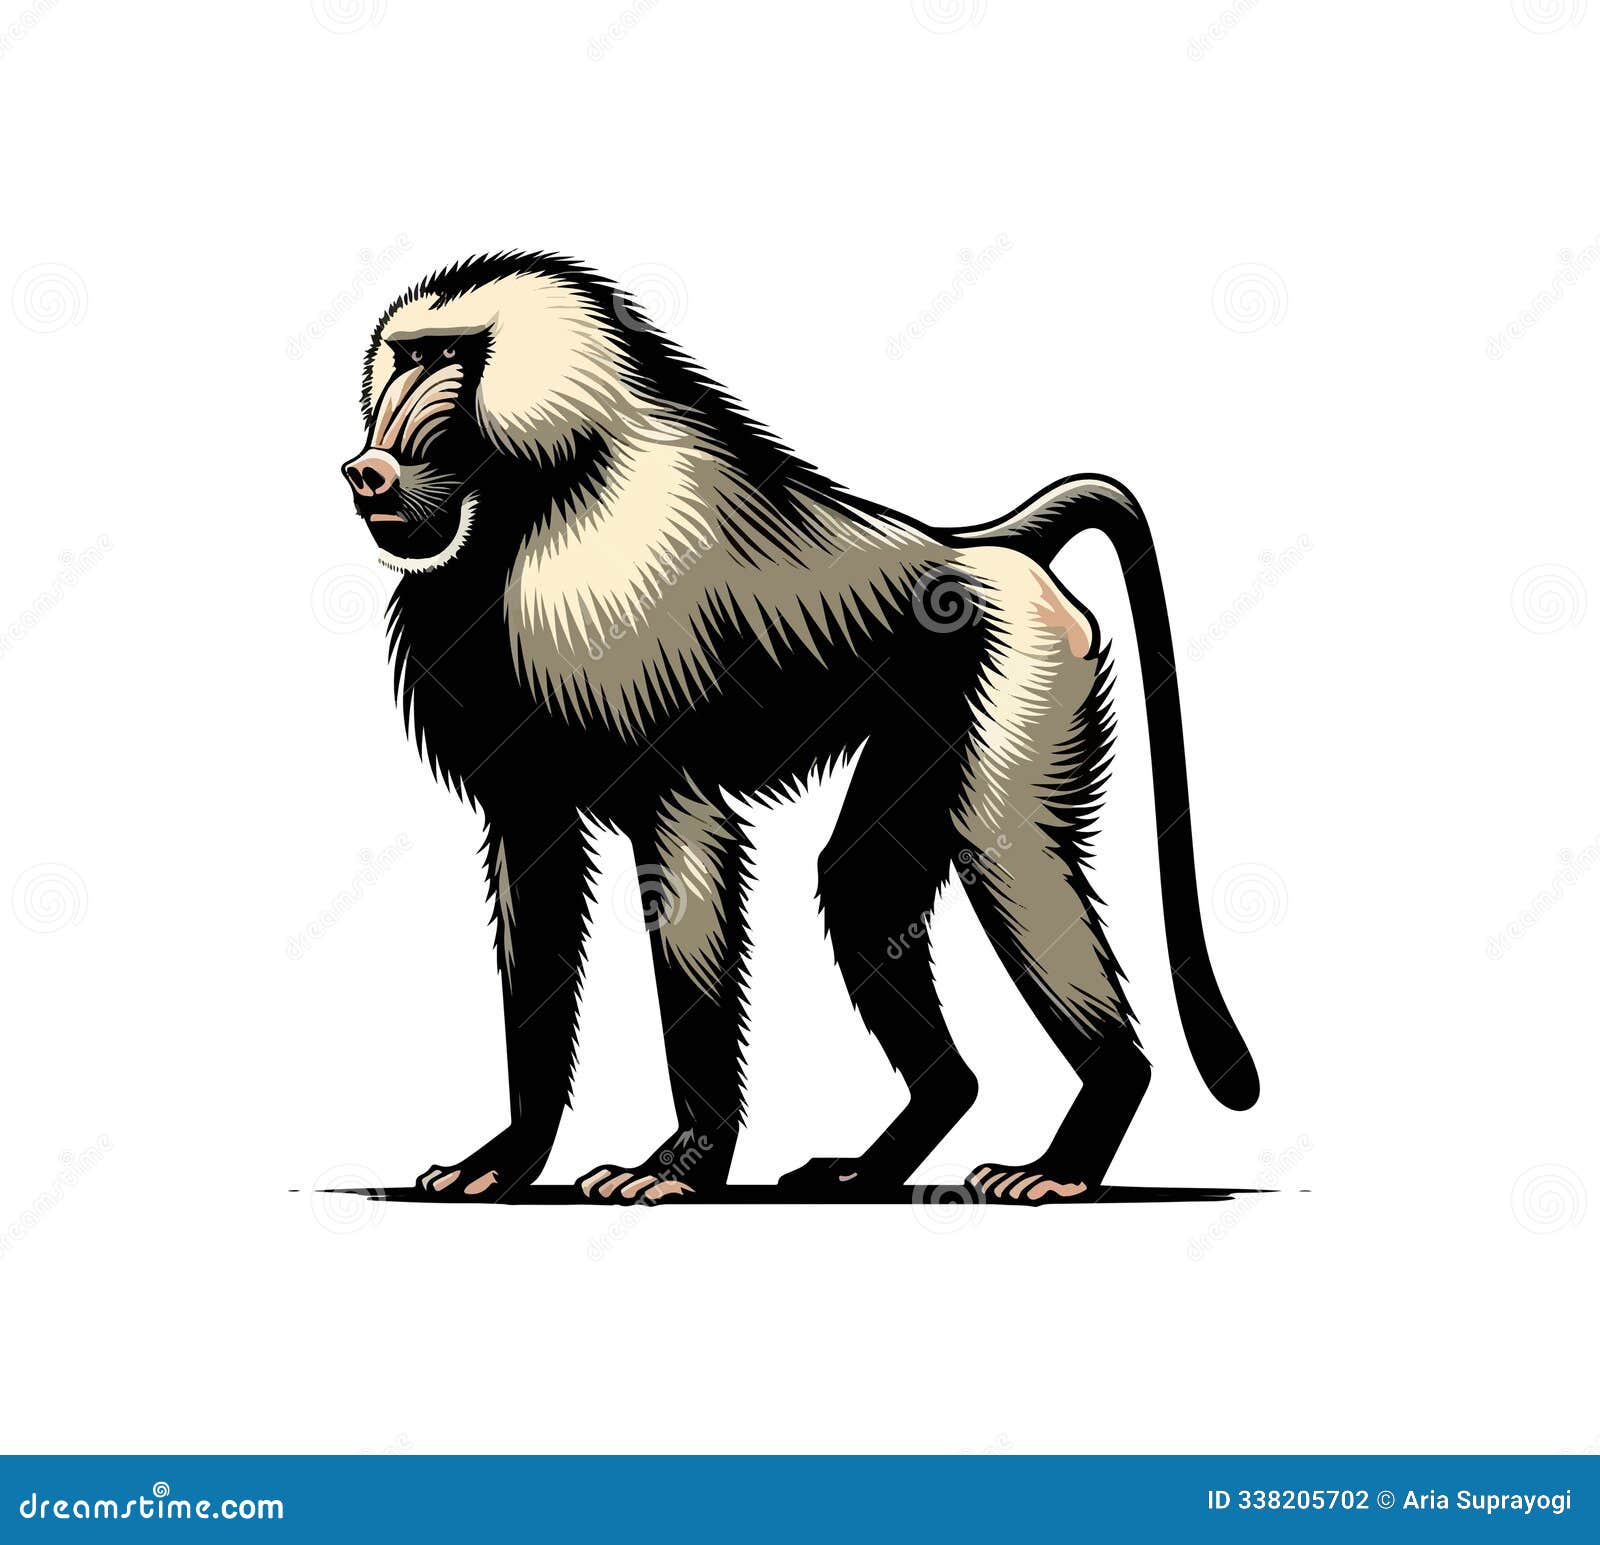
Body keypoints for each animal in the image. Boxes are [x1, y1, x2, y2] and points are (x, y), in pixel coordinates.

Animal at [337, 251, 1258, 1206]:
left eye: (448, 356)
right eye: (404, 358)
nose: (370, 469)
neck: (532, 499)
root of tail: (984, 550)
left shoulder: (624, 652)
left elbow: (687, 860)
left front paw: (683, 1161)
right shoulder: (520, 772)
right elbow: (537, 873)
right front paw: (513, 1154)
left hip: (1024, 668)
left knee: (1003, 848)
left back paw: (1079, 1141)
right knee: (863, 885)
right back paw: (887, 1154)